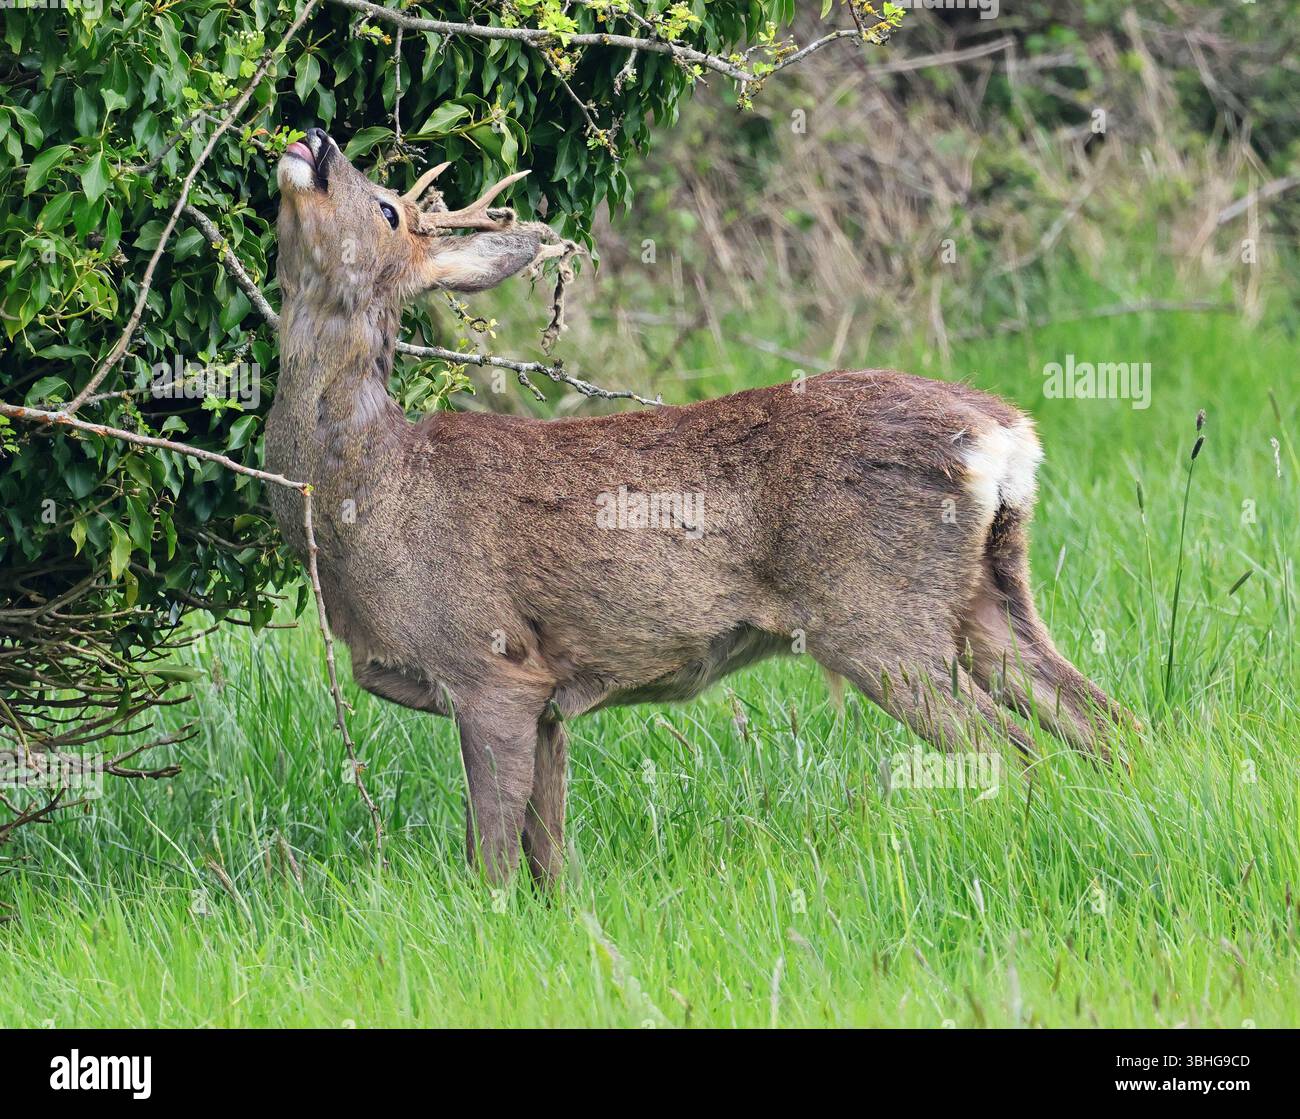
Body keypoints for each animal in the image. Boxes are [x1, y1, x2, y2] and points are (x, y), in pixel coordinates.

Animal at [267, 127, 1136, 886]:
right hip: (988, 593)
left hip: (881, 619)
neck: (368, 494)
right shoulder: (548, 699)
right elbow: (550, 859)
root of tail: (1003, 434)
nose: (317, 139)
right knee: (1104, 724)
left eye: (387, 210)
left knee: (1012, 750)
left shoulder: (492, 665)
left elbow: (496, 860)